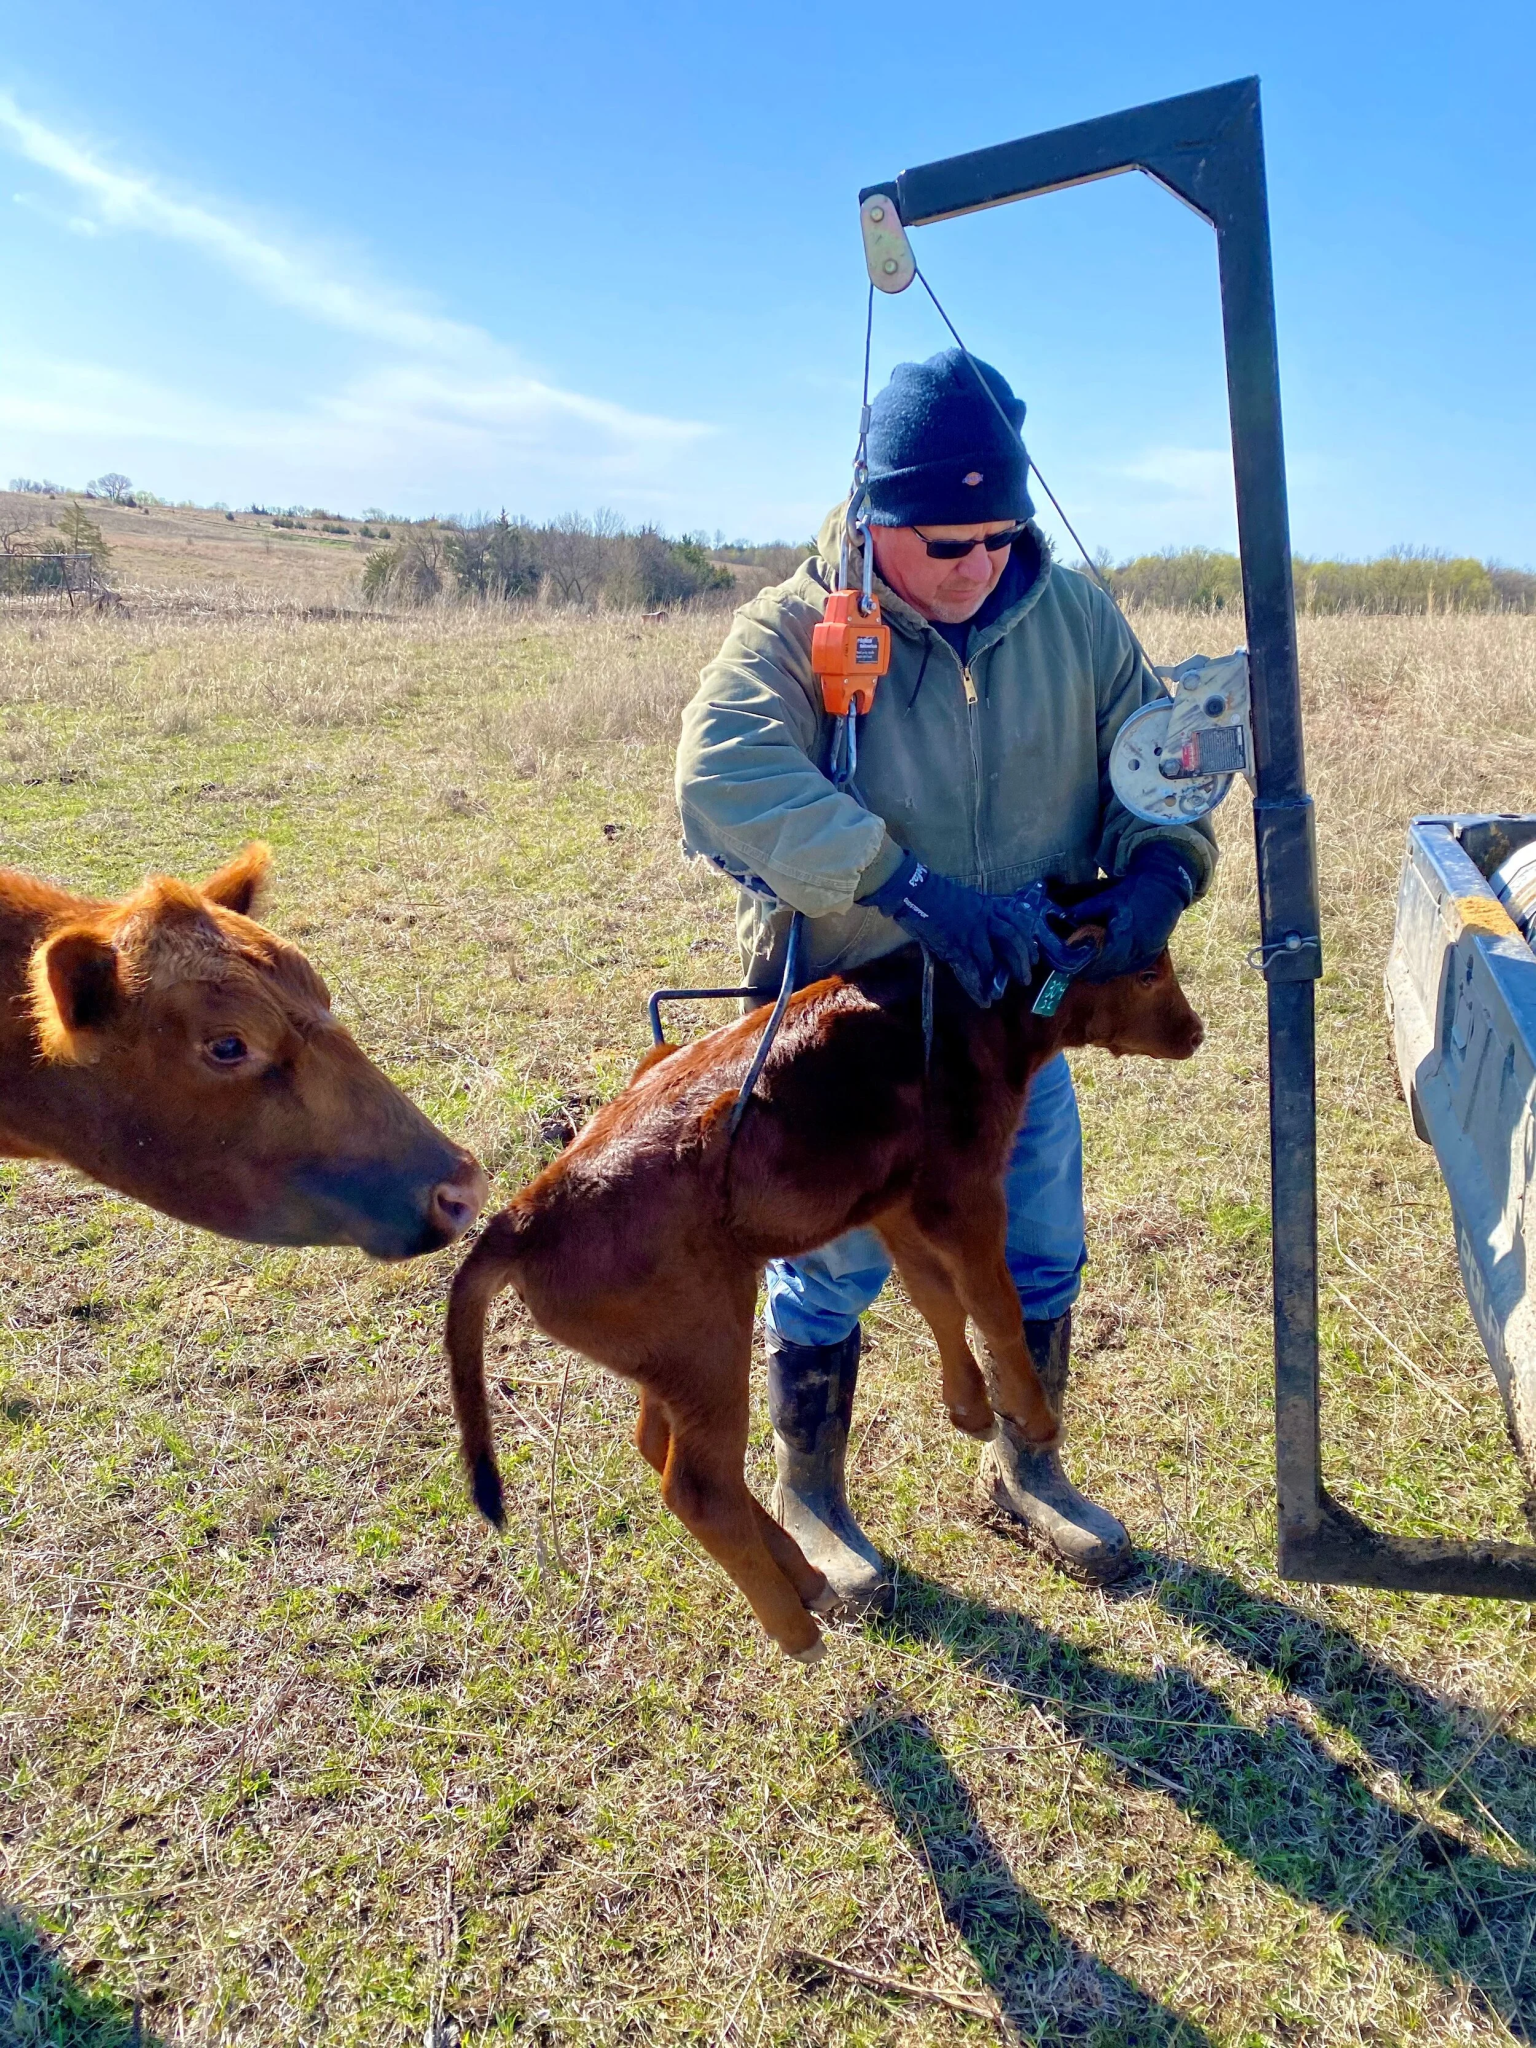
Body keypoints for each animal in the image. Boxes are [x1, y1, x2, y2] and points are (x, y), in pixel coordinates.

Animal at [445, 945, 1203, 1662]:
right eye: (1146, 971)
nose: (1194, 1032)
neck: (969, 1009)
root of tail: (523, 1217)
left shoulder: (894, 1204)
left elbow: (937, 1299)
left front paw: (973, 1411)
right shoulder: (964, 1191)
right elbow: (995, 1303)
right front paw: (1034, 1418)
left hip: (672, 1360)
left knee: (657, 1444)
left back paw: (810, 1581)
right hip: (707, 1341)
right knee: (697, 1483)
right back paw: (796, 1629)